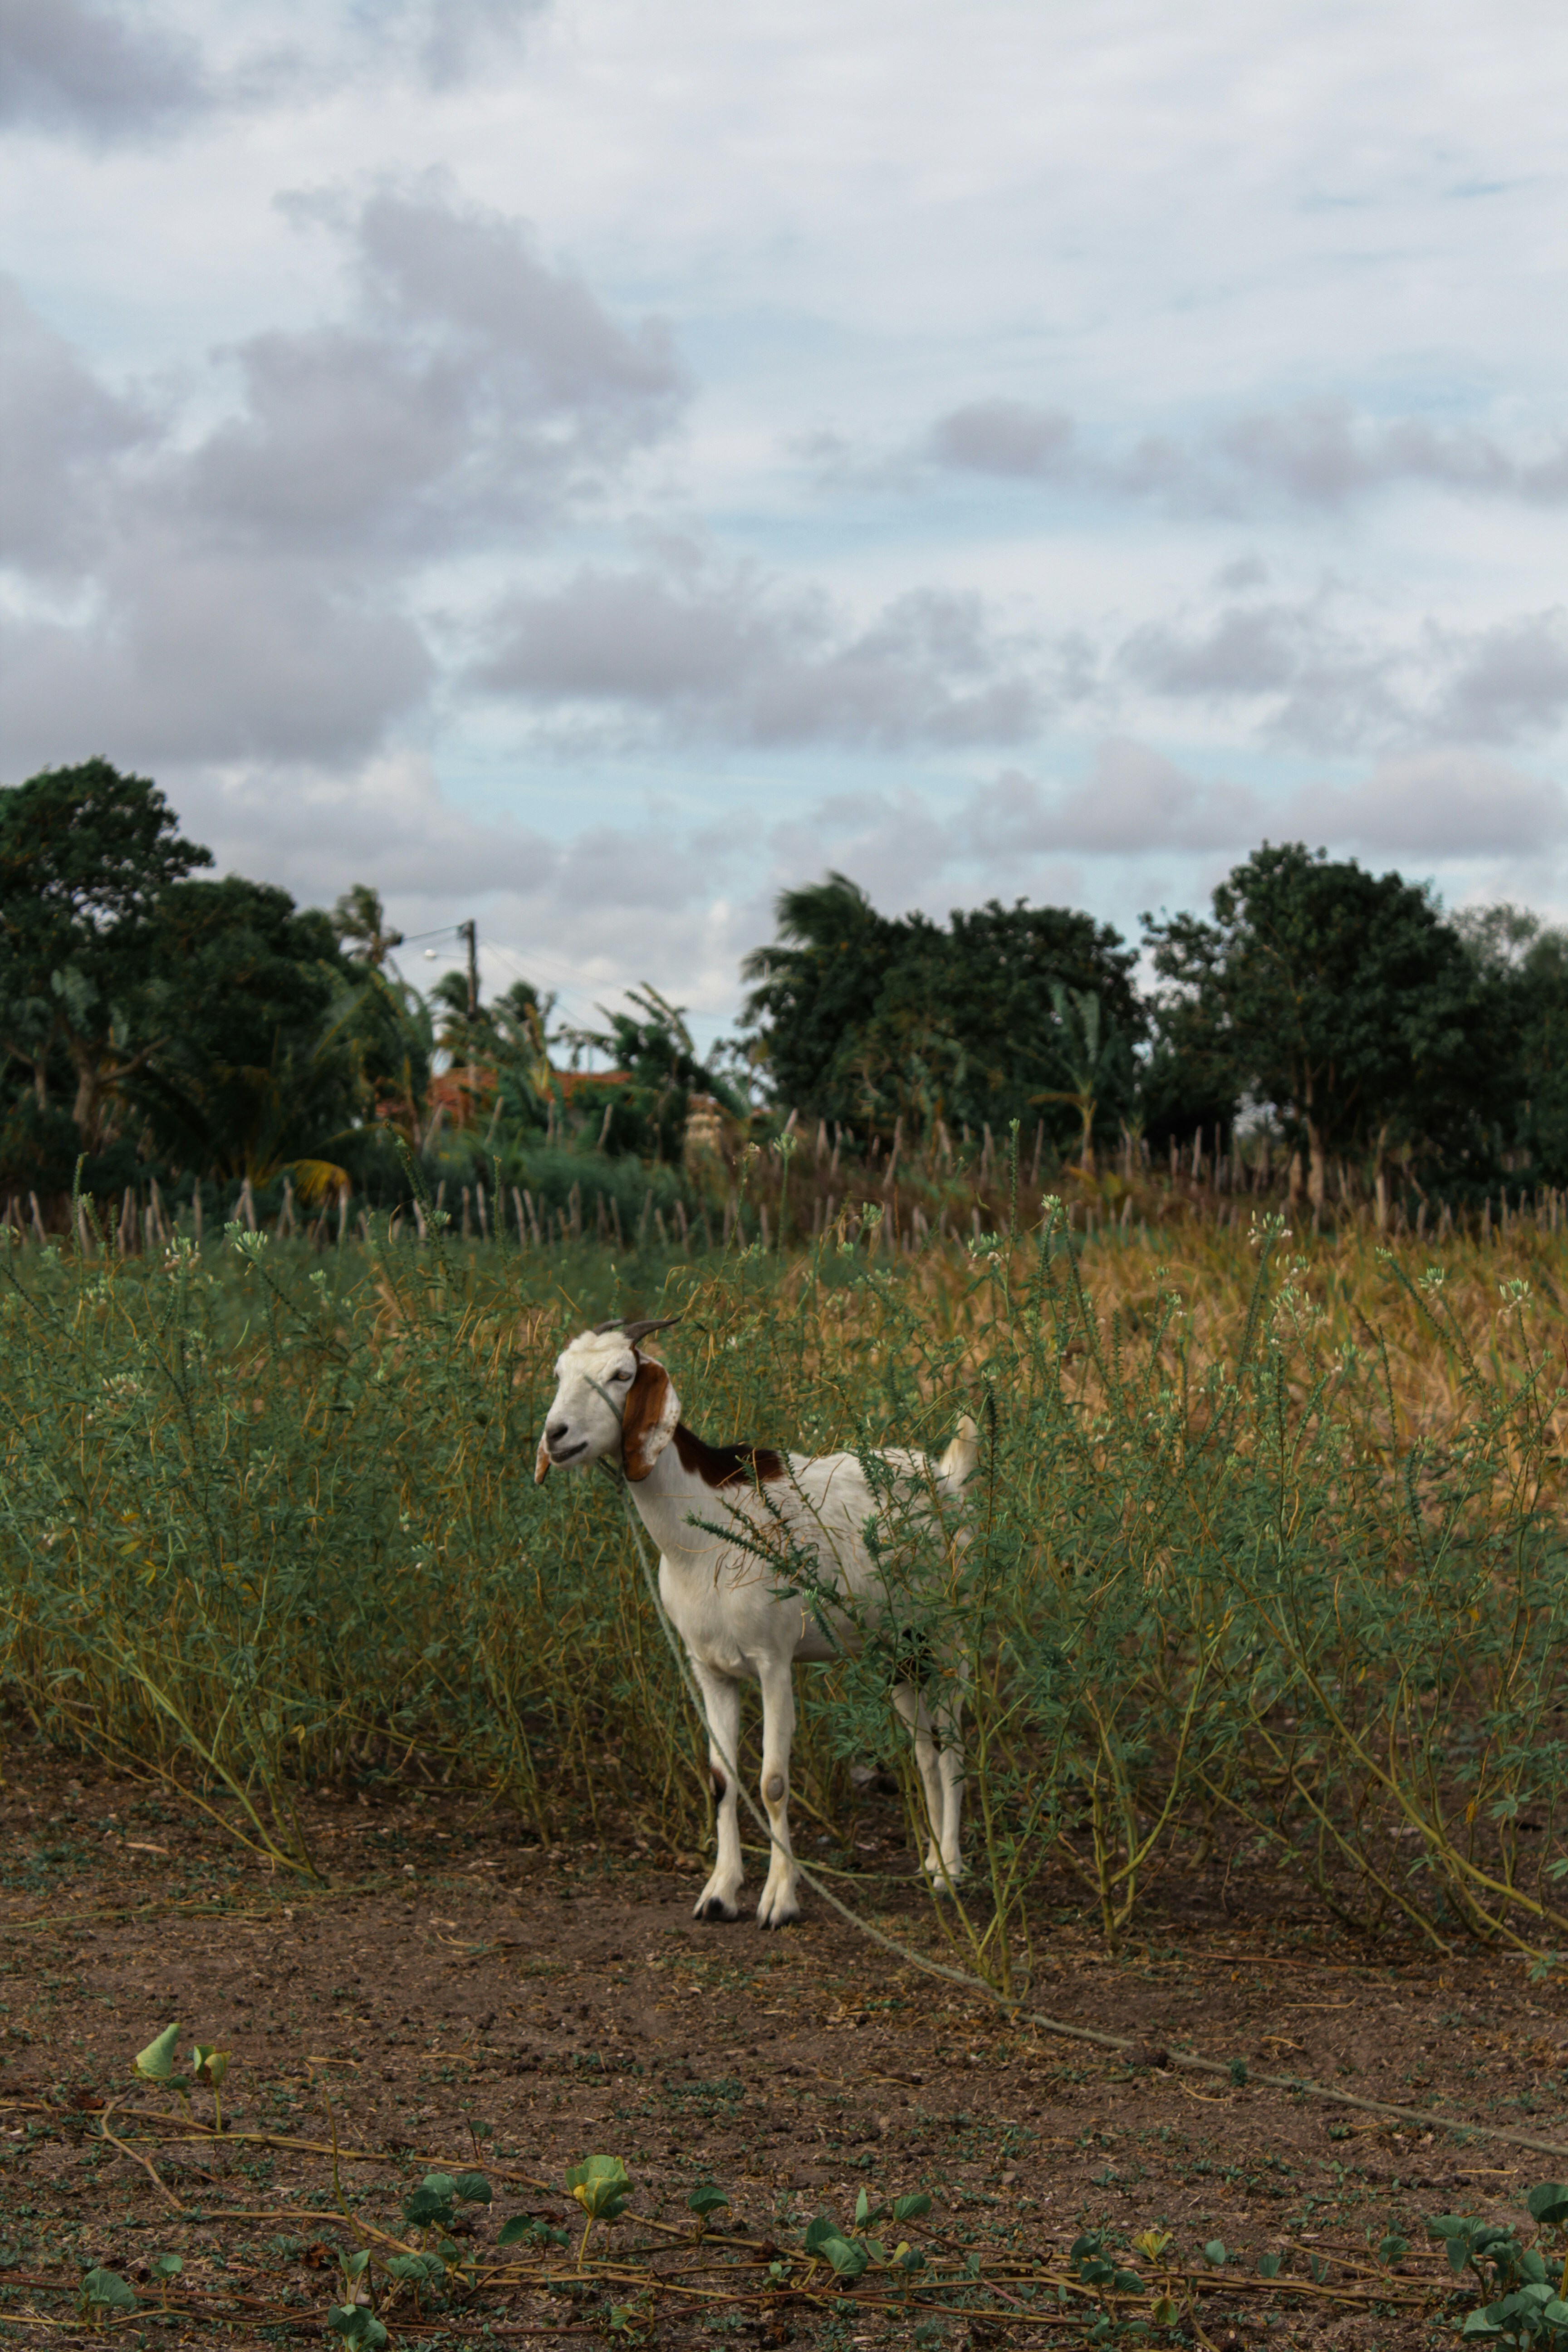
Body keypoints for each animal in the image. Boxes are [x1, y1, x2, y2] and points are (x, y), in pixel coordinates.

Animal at [535, 1315, 978, 1928]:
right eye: (558, 1373)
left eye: (622, 1374)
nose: (555, 1435)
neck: (701, 1531)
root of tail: (947, 1480)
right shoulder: (710, 1670)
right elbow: (722, 1781)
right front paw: (720, 1894)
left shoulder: (774, 1663)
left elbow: (772, 1783)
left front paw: (779, 1902)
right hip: (898, 1647)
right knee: (924, 1752)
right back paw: (932, 1862)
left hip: (947, 1633)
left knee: (952, 1745)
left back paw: (953, 1872)